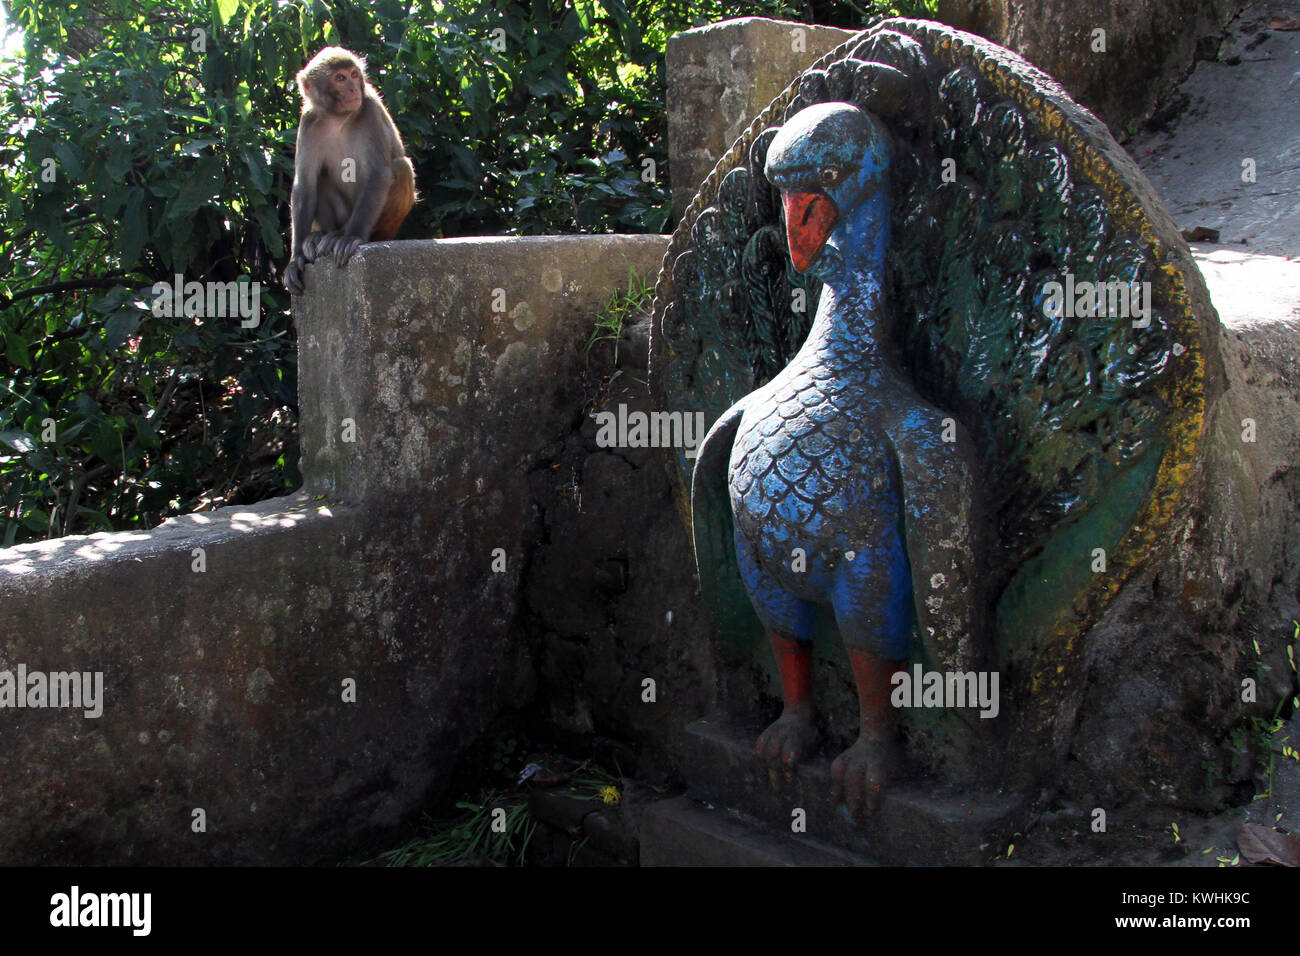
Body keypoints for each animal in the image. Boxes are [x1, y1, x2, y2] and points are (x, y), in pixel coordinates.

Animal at [283, 47, 416, 295]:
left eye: (354, 74)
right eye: (340, 78)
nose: (354, 88)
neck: (338, 117)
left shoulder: (370, 110)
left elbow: (378, 174)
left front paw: (352, 237)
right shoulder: (309, 121)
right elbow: (305, 183)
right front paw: (295, 259)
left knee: (402, 167)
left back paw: (351, 235)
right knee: (321, 177)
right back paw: (322, 236)